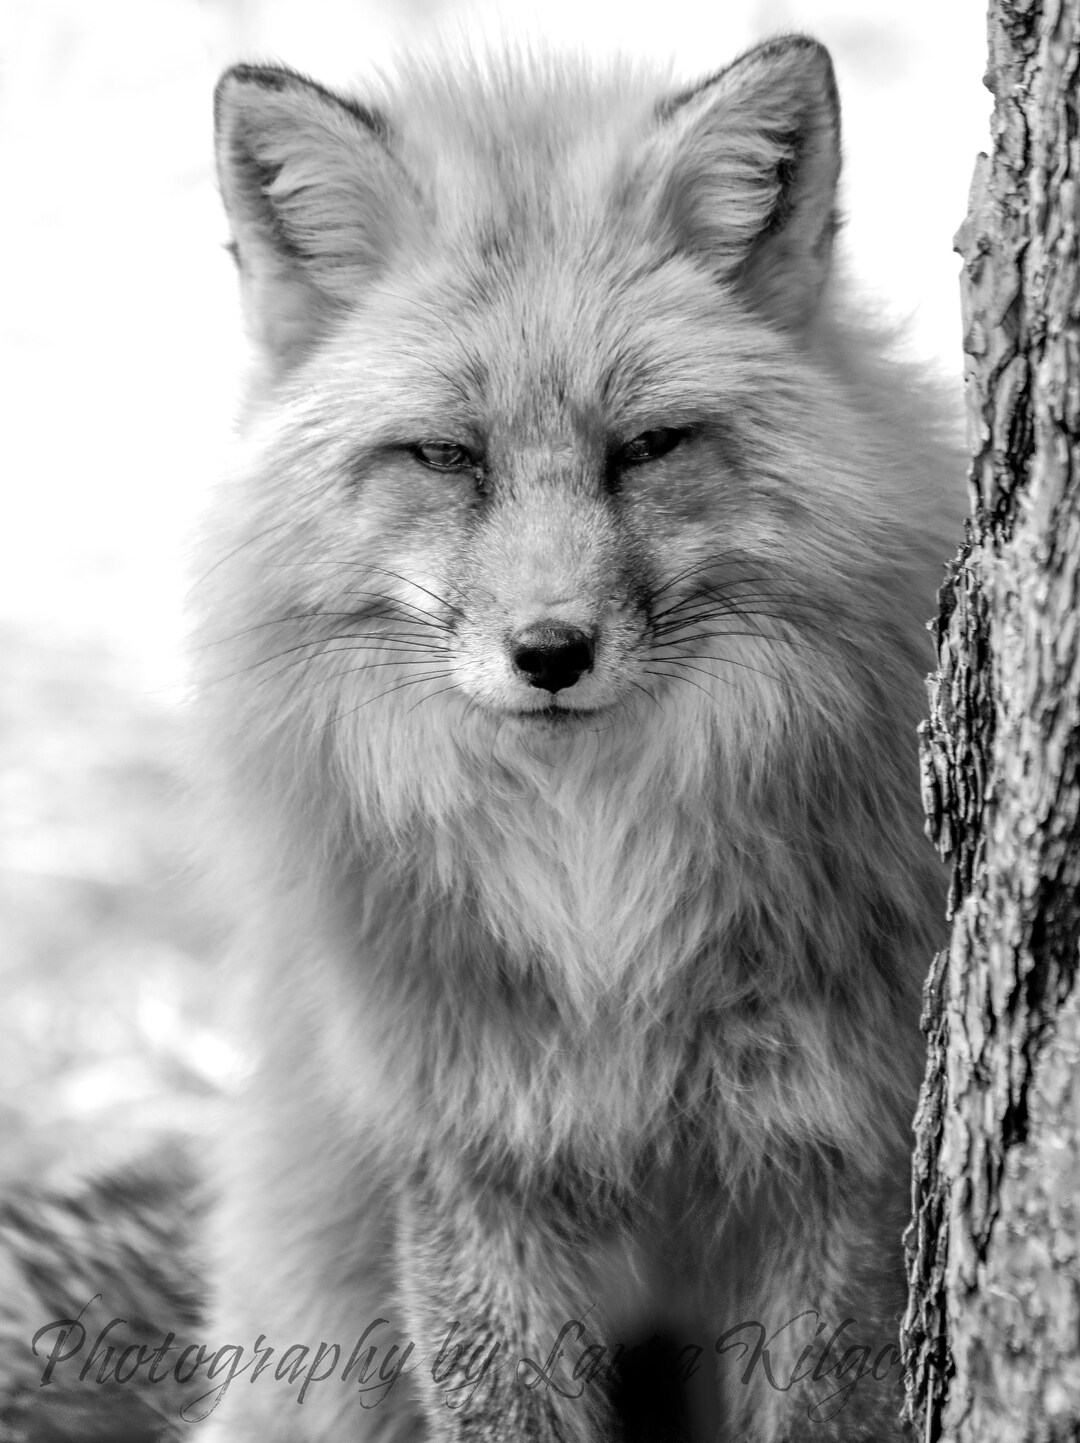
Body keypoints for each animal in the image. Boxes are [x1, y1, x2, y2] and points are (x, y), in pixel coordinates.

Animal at [194, 33, 960, 1443]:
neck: (597, 894)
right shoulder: (467, 1150)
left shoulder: (842, 1144)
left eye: (648, 447)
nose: (550, 652)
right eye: (446, 457)